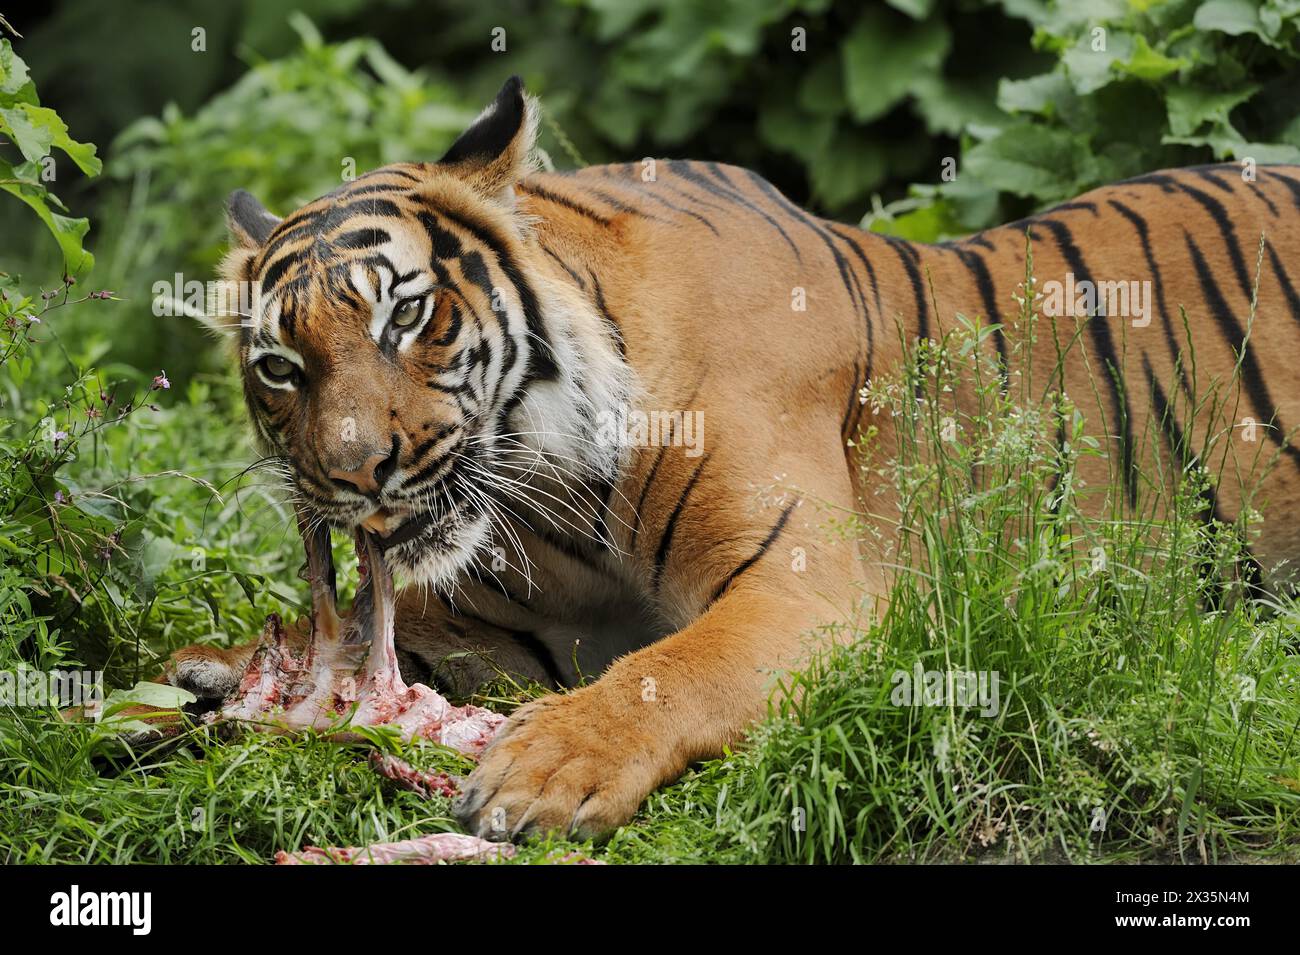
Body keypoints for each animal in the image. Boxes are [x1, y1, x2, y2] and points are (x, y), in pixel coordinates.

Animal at [167, 75, 1300, 841]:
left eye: (407, 315)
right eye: (280, 366)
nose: (355, 472)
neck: (552, 486)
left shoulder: (804, 587)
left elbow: (666, 670)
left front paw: (541, 765)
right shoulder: (530, 619)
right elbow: (389, 625)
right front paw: (220, 667)